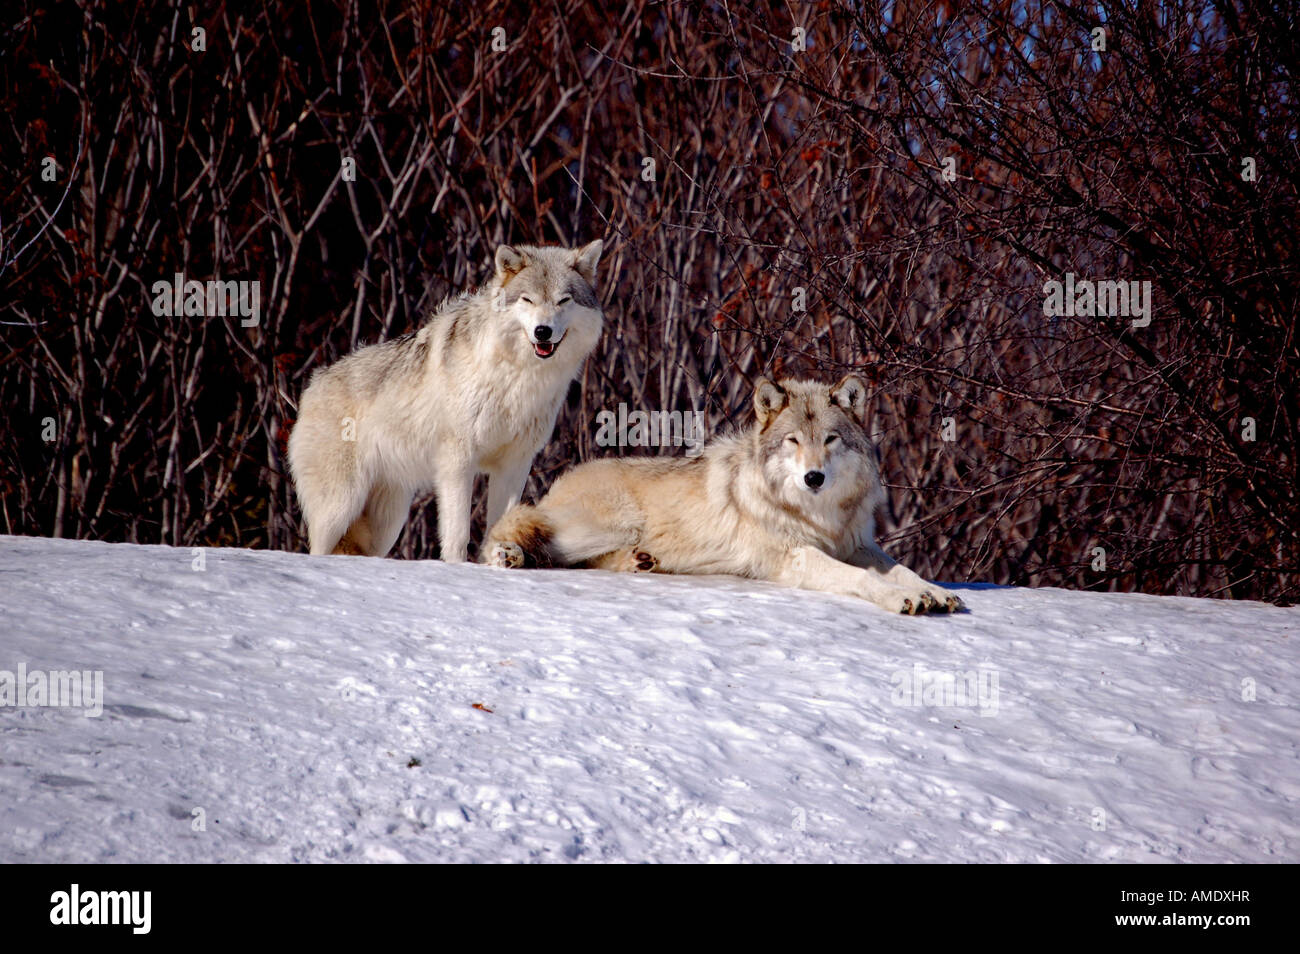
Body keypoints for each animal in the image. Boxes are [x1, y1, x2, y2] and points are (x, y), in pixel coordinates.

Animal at [288, 240, 604, 561]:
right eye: (527, 299)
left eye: (564, 300)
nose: (543, 331)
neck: (517, 376)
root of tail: (312, 385)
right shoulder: (457, 462)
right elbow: (458, 534)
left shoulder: (515, 463)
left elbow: (501, 521)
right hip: (339, 508)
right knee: (317, 550)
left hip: (386, 524)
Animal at [484, 375, 963, 614]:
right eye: (793, 441)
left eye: (830, 440)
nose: (813, 477)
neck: (817, 513)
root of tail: (560, 482)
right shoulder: (795, 556)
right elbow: (862, 579)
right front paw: (900, 599)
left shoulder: (857, 544)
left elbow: (903, 570)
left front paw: (934, 593)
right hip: (609, 525)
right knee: (516, 535)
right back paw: (507, 556)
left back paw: (640, 563)